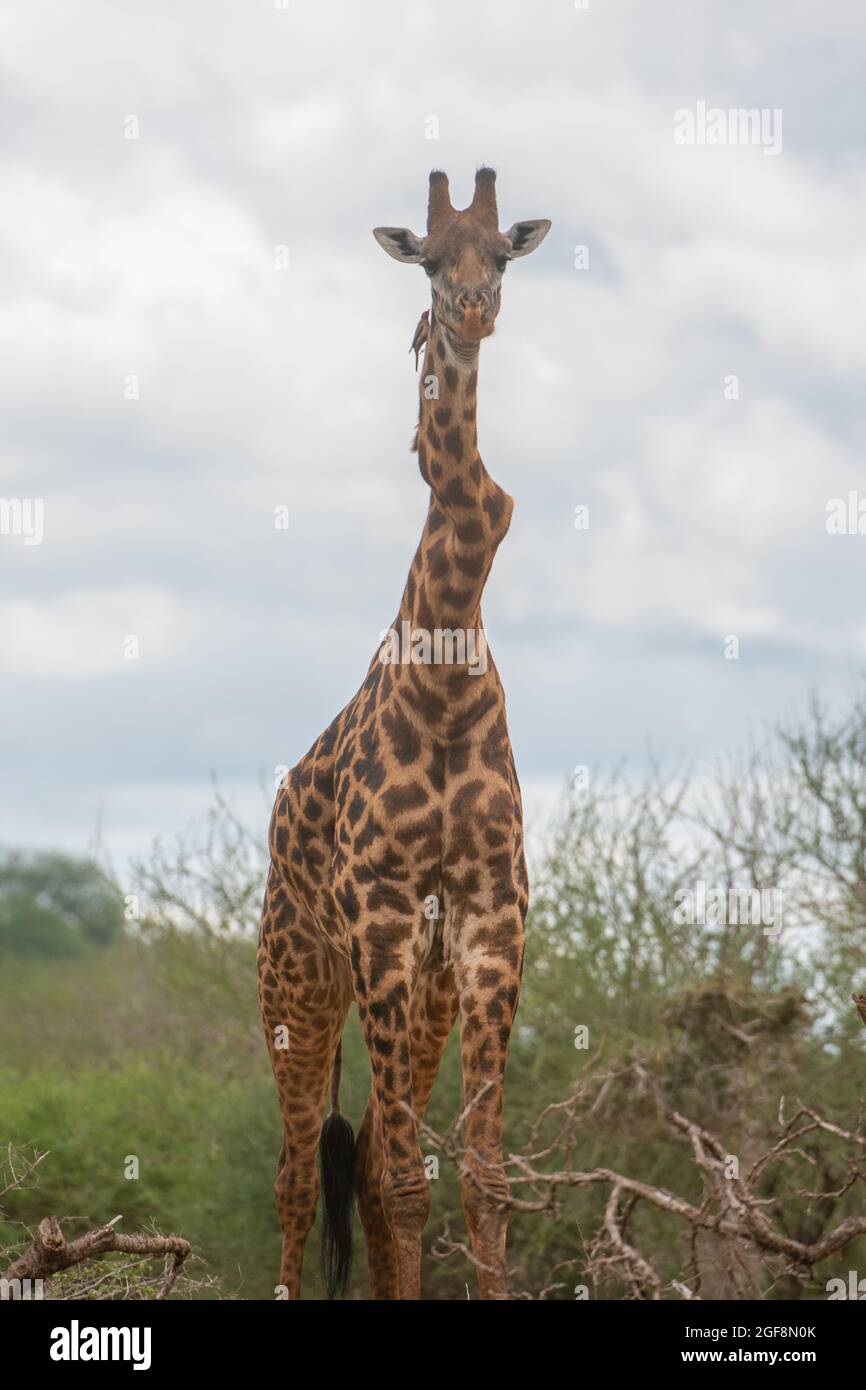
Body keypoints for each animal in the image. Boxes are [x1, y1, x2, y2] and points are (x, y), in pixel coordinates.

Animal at [257, 167, 551, 1301]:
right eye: (428, 261)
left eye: (502, 254)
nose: (471, 311)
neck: (447, 672)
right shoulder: (381, 920)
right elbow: (398, 1176)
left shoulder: (489, 921)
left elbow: (480, 1175)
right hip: (295, 974)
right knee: (301, 1172)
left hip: (416, 993)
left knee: (376, 1158)